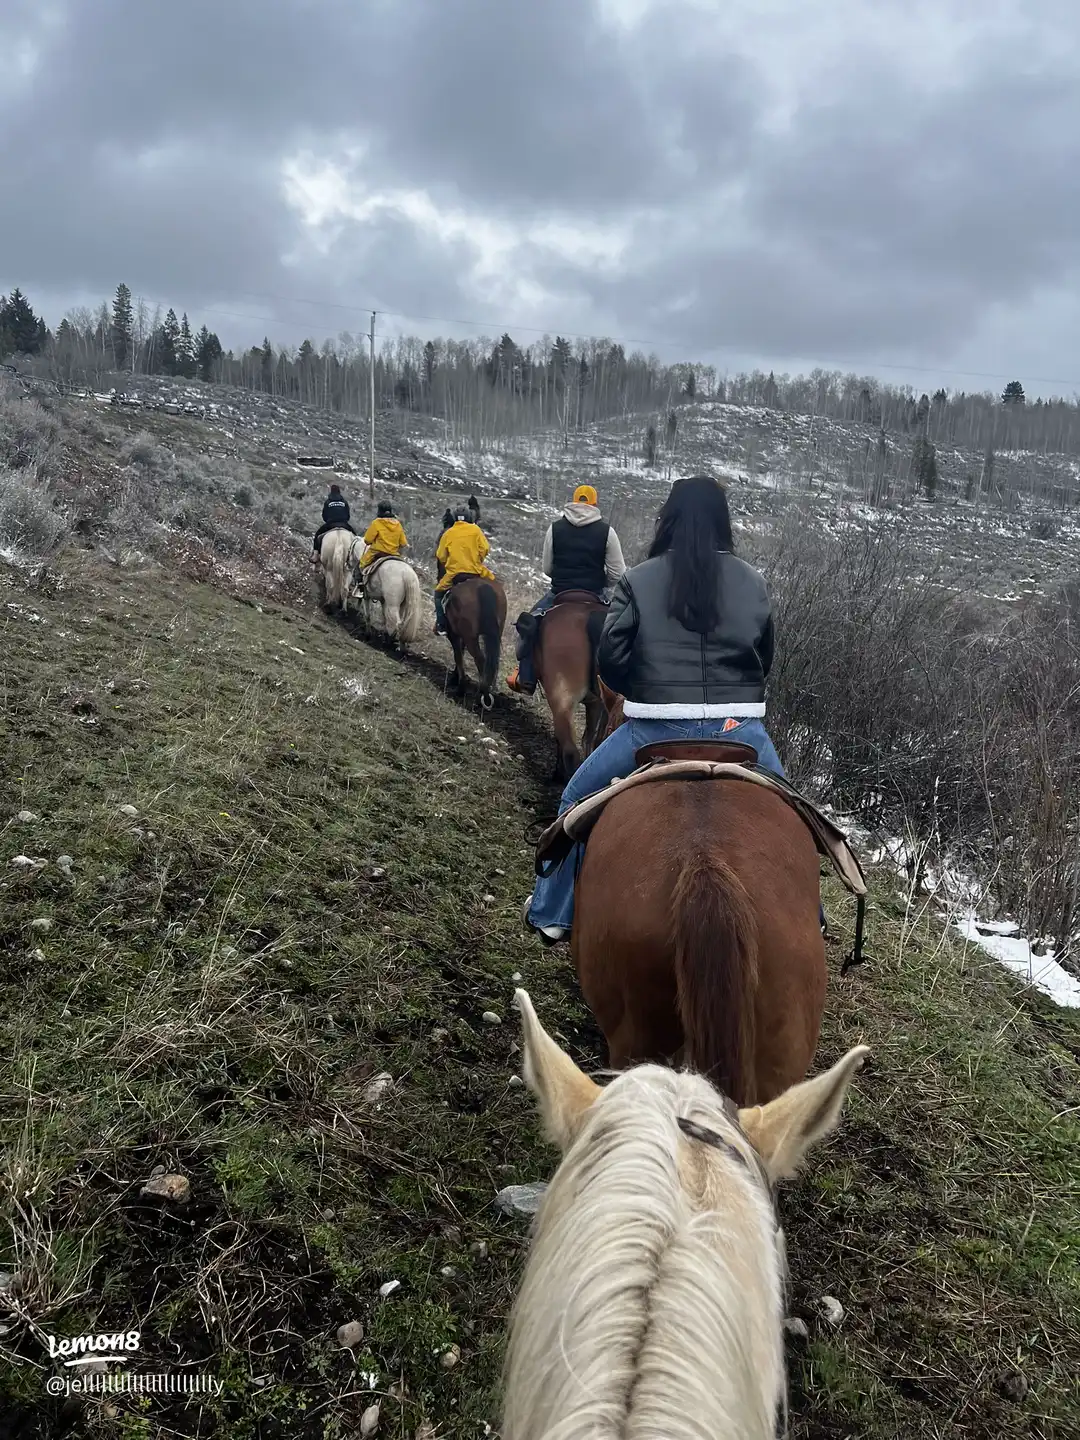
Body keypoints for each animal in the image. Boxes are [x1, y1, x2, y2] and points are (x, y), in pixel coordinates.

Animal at [443, 575, 507, 708]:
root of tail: (483, 587)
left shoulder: (454, 635)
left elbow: (458, 657)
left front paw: (460, 687)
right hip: (494, 634)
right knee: (492, 663)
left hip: (471, 638)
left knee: (480, 660)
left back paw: (482, 695)